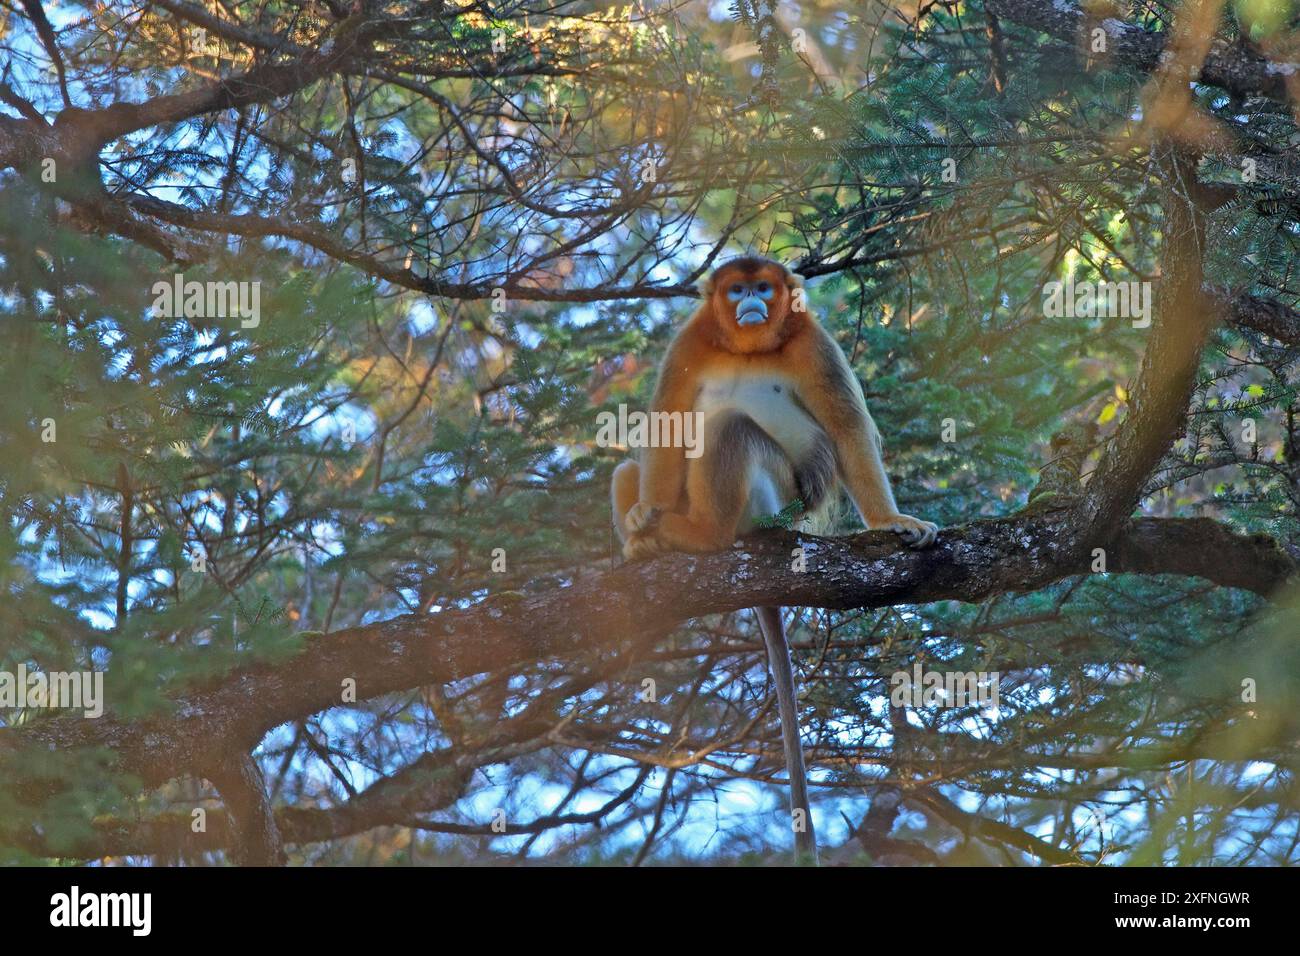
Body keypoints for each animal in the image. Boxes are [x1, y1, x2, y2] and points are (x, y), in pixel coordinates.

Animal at [610, 255, 939, 863]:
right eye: (737, 289)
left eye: (763, 288)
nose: (750, 303)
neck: (746, 348)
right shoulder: (693, 337)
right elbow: (666, 419)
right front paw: (644, 516)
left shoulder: (814, 341)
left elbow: (848, 428)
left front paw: (890, 521)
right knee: (629, 469)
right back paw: (647, 537)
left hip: (775, 503)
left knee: (731, 429)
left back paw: (698, 536)